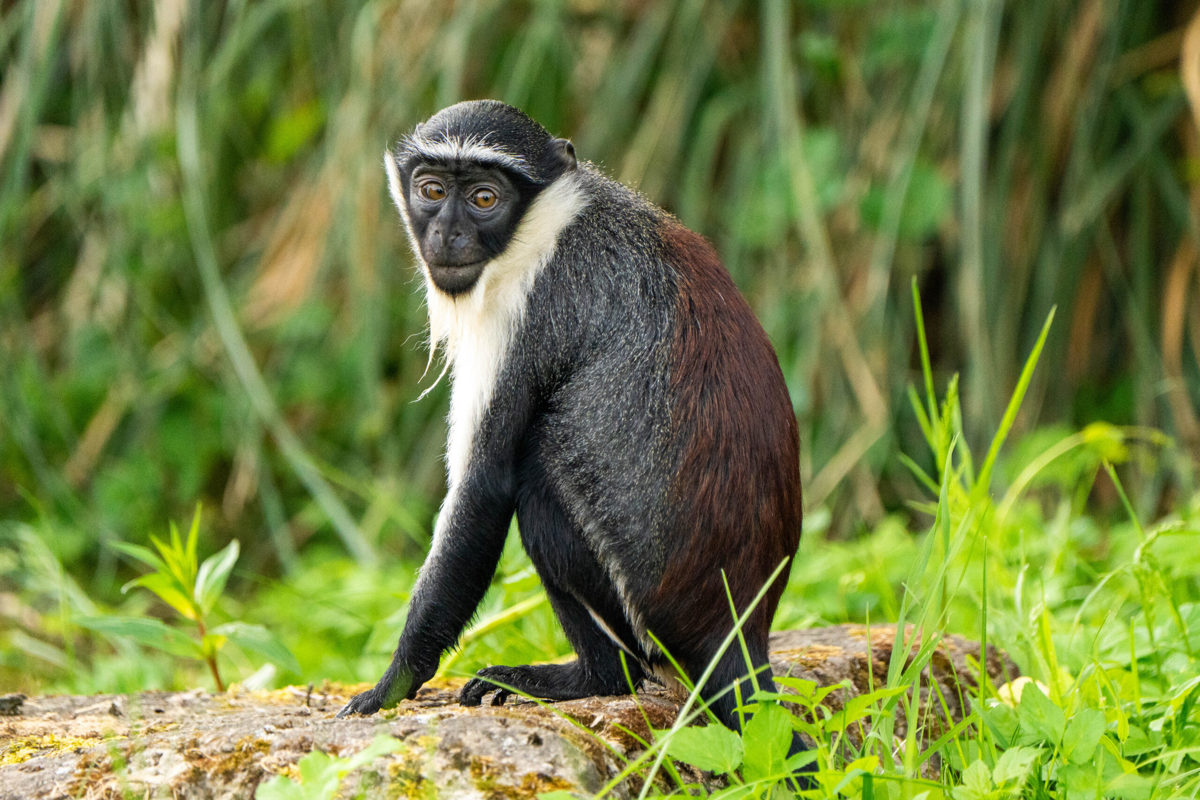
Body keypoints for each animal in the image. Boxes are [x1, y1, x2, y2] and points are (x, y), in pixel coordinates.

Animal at [337, 100, 808, 772]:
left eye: (484, 198)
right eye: (431, 191)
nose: (446, 236)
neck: (550, 223)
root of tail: (738, 640)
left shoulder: (528, 313)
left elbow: (484, 491)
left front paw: (389, 688)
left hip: (641, 609)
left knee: (538, 483)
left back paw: (594, 678)